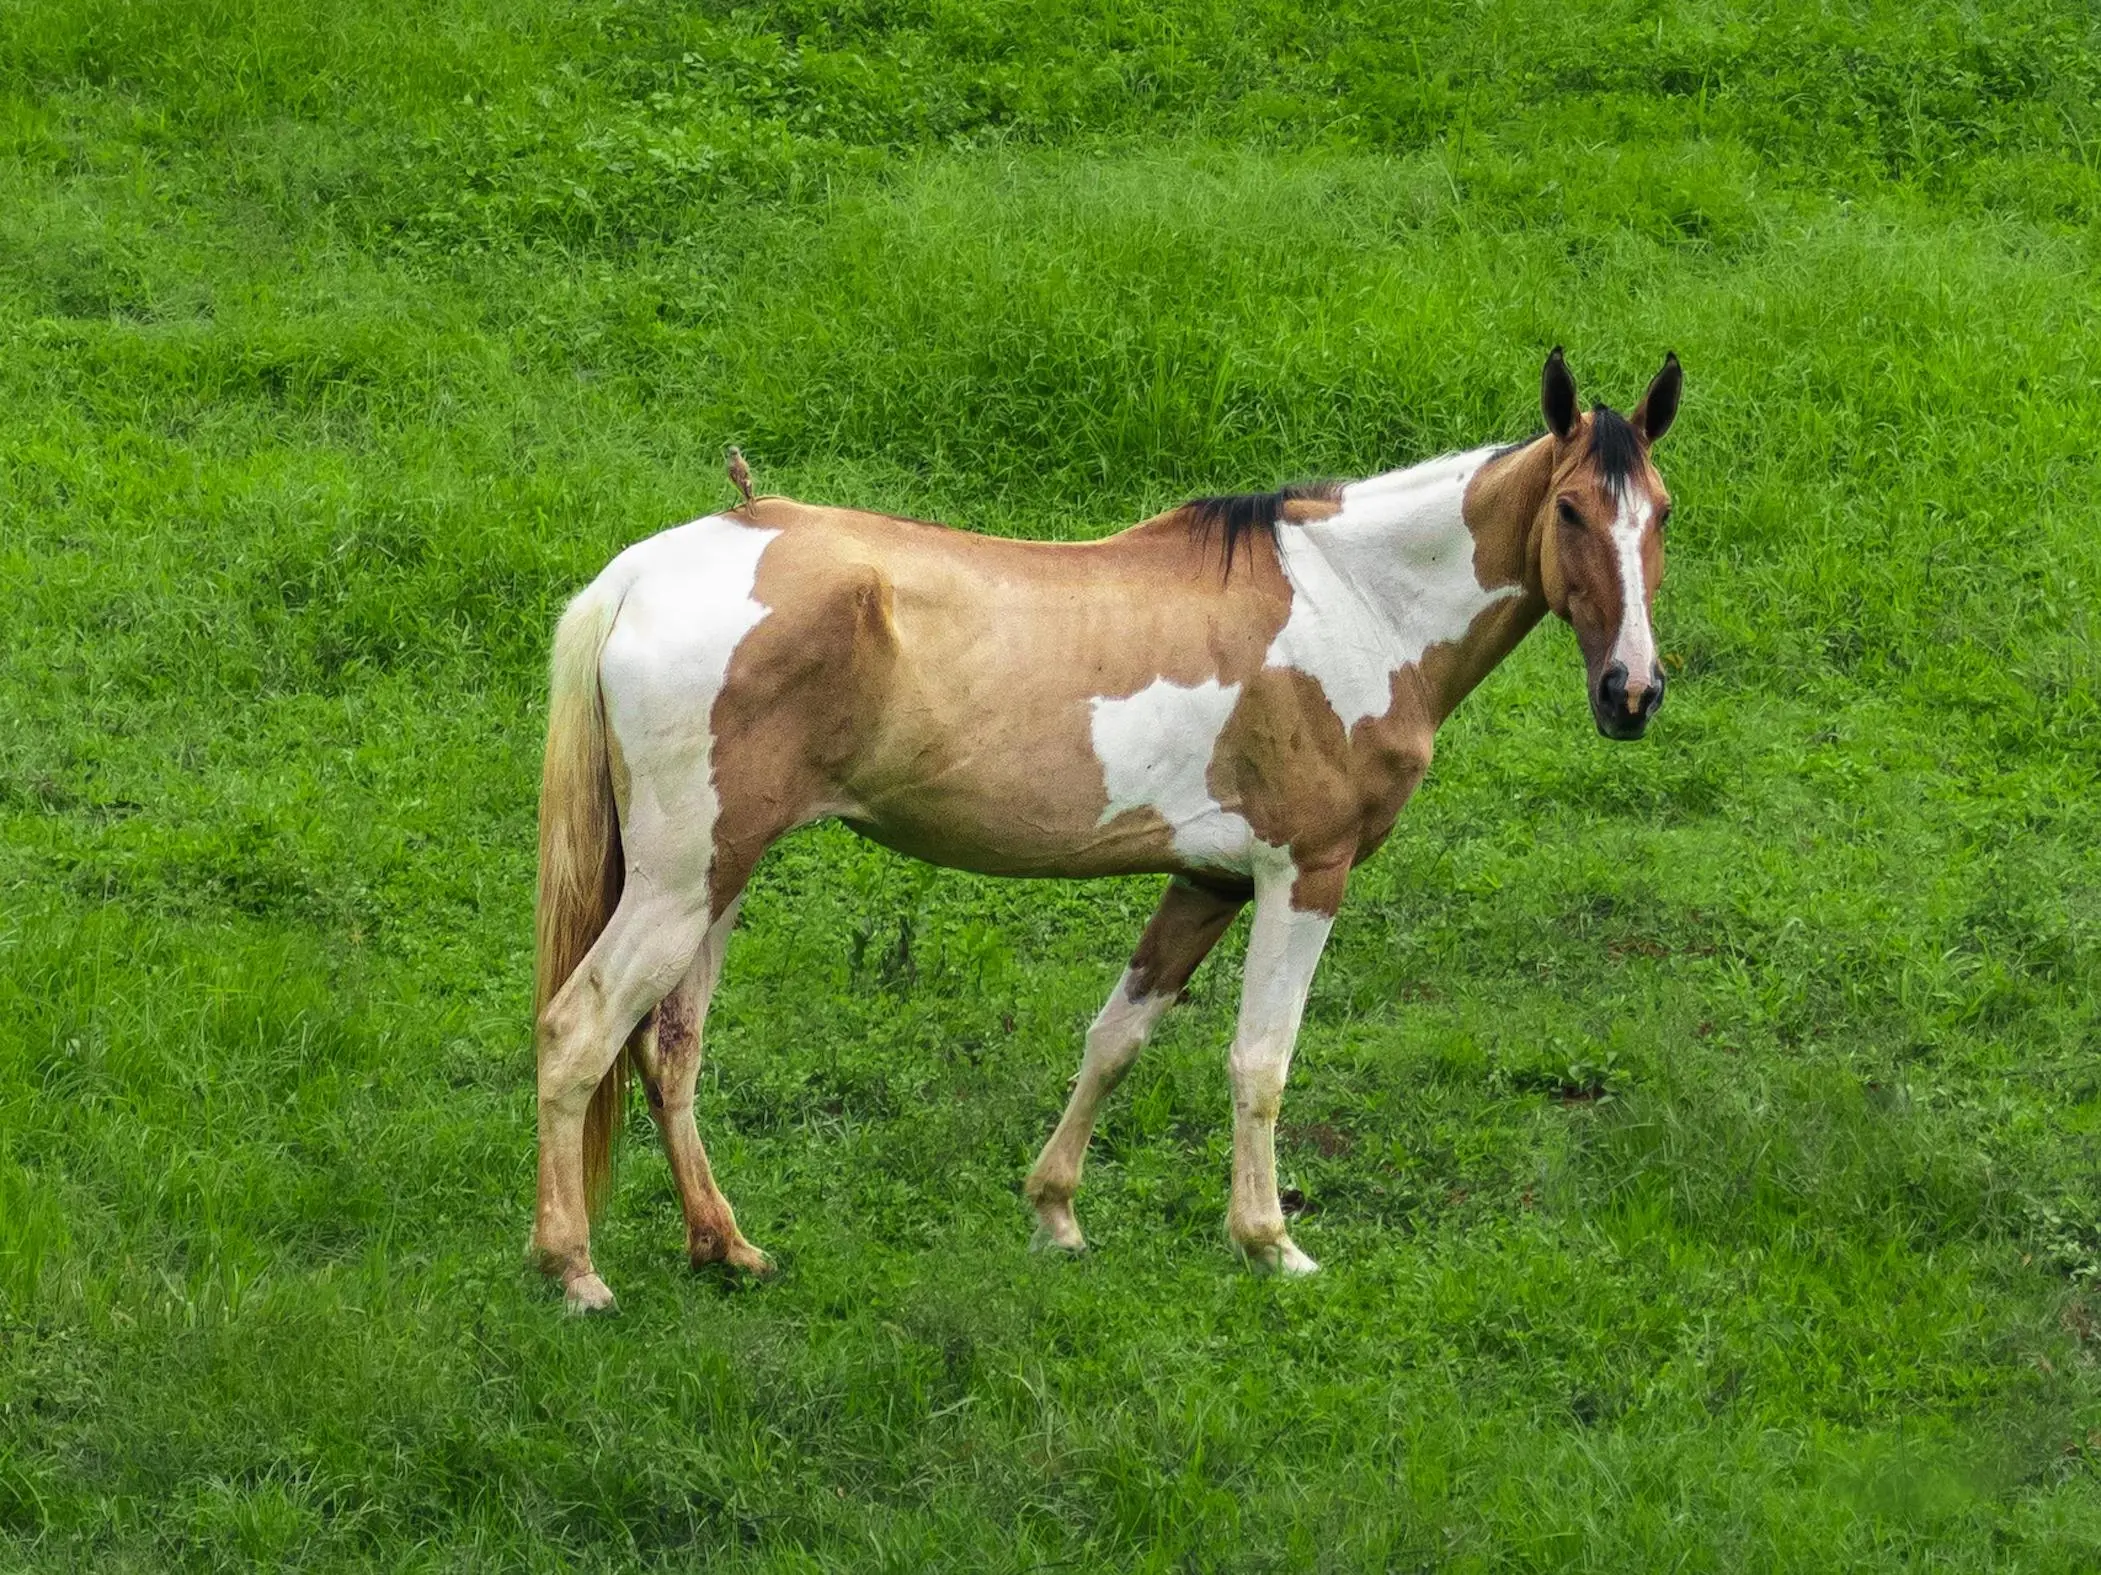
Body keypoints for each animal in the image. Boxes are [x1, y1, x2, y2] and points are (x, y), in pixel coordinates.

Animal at [530, 347, 1682, 1312]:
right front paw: (1270, 1243)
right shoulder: (1303, 873)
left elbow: (1118, 1036)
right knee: (577, 1032)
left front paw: (1055, 1211)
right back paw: (575, 1271)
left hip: (715, 883)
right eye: (1570, 510)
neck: (1355, 608)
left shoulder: (1208, 880)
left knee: (668, 1049)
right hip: (682, 882)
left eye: (1661, 514)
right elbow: (1260, 1059)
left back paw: (724, 1246)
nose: (1632, 693)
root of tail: (637, 576)